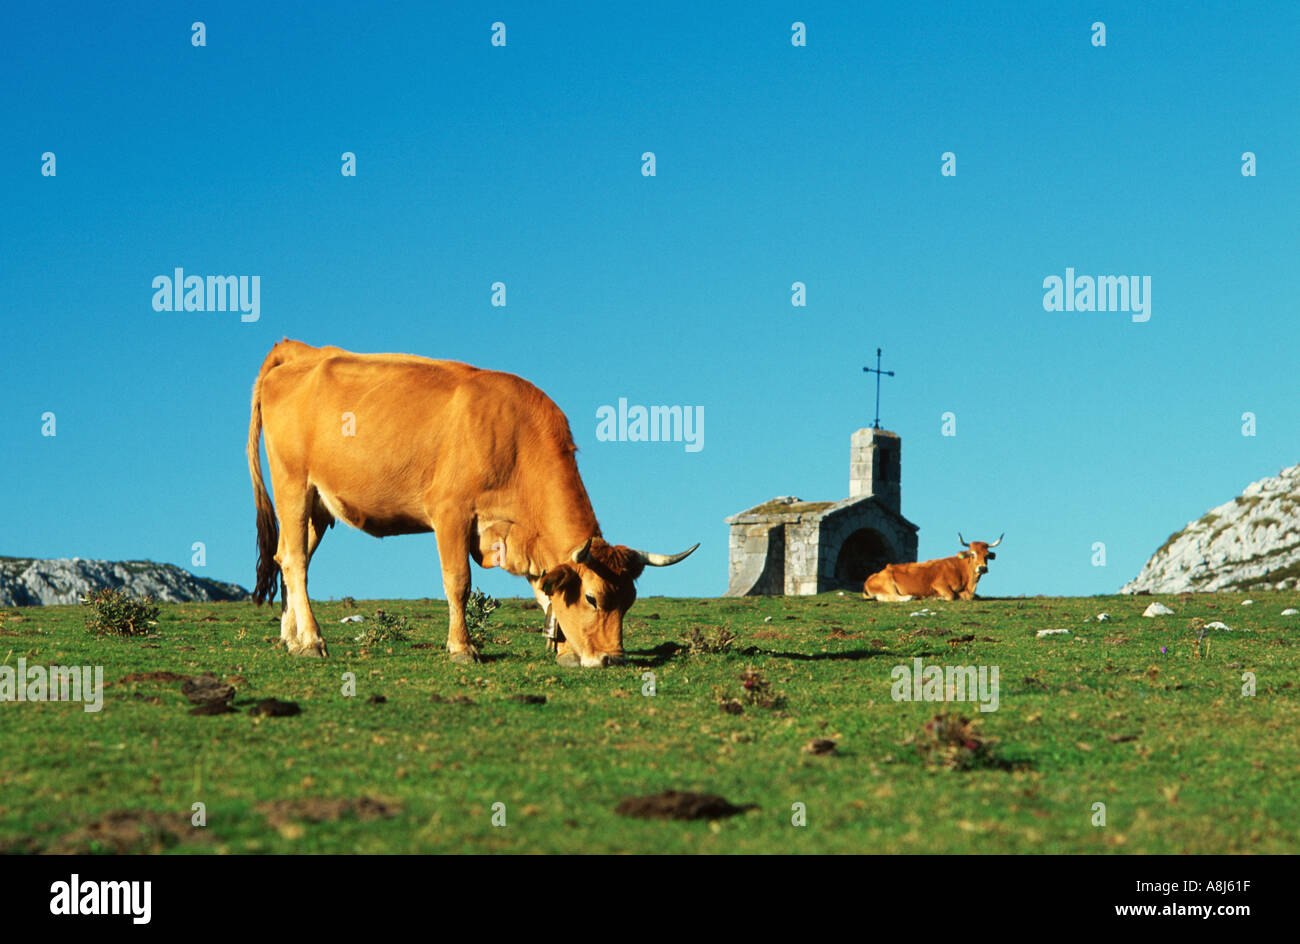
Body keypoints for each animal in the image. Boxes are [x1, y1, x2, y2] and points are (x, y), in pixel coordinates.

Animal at [247, 339, 698, 668]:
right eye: (593, 598)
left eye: (629, 601)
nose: (612, 658)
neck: (516, 441)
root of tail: (301, 351)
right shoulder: (451, 513)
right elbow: (458, 582)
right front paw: (463, 648)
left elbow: (545, 594)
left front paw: (566, 649)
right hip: (292, 486)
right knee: (296, 562)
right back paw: (311, 641)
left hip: (317, 507)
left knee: (287, 557)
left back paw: (290, 638)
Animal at [862, 534, 1003, 602]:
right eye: (973, 554)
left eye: (986, 555)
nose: (982, 568)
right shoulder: (938, 584)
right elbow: (951, 596)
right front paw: (936, 597)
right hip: (888, 583)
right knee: (890, 597)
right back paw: (912, 597)